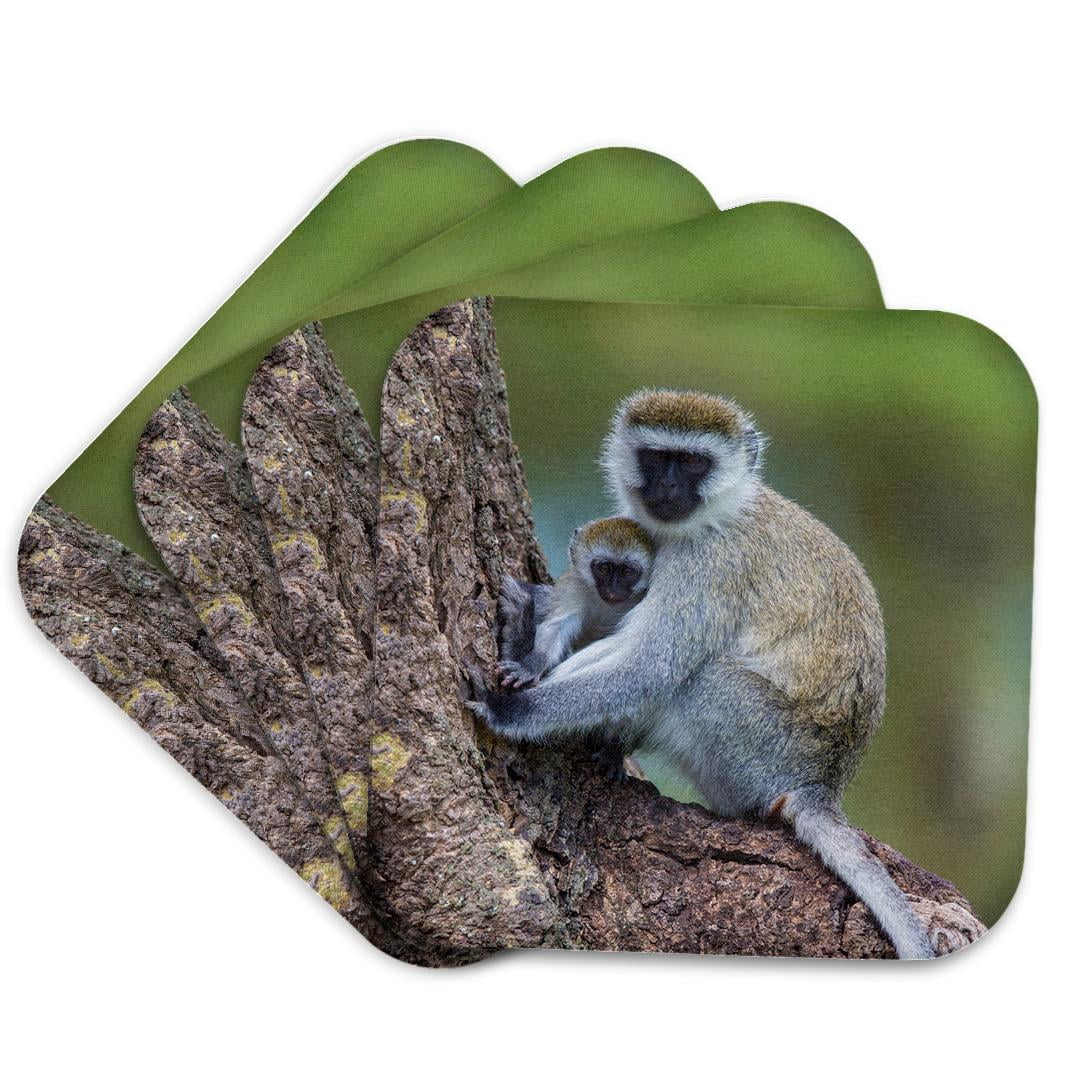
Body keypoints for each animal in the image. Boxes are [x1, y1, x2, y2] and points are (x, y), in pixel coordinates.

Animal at [497, 516, 655, 690]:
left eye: (627, 572)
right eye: (604, 568)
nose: (613, 590)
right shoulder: (574, 585)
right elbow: (557, 625)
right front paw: (532, 665)